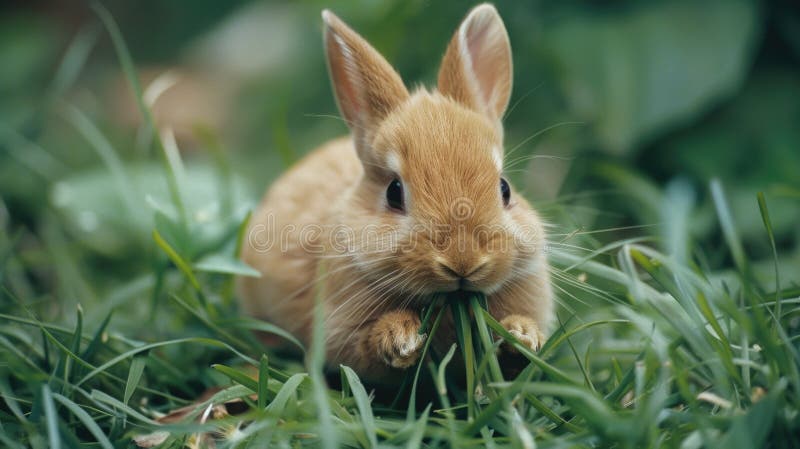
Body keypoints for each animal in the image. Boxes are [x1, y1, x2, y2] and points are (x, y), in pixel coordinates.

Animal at [238, 3, 553, 382]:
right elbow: (362, 349)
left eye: (504, 189)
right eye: (393, 192)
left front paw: (523, 335)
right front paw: (400, 338)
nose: (463, 262)